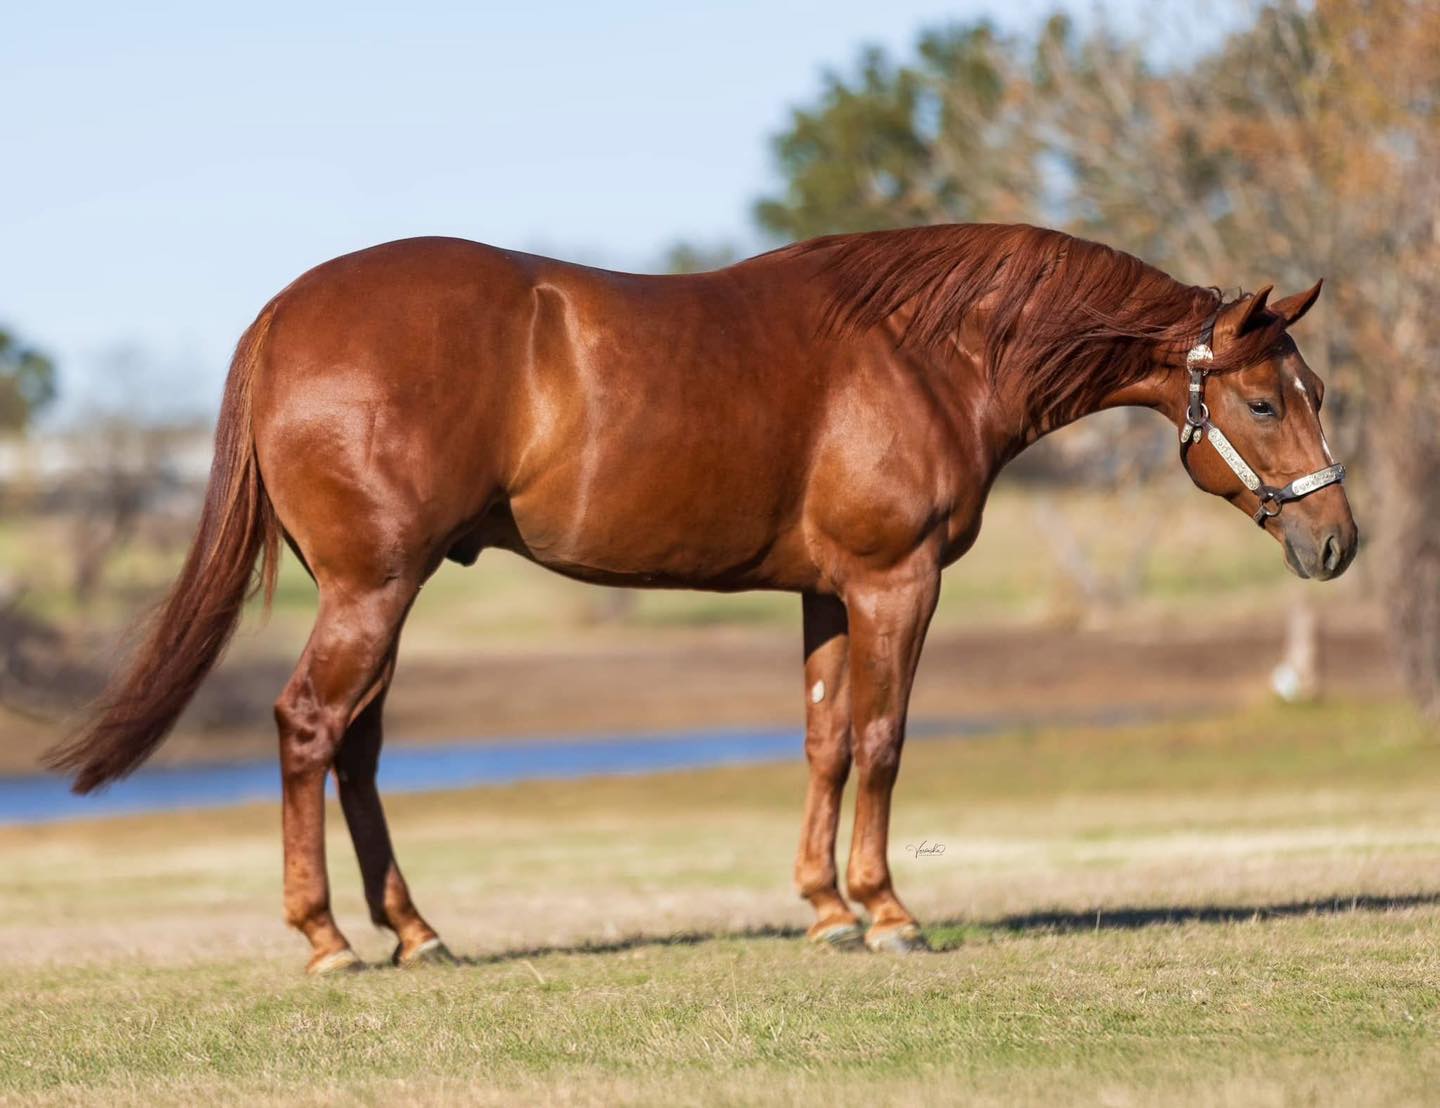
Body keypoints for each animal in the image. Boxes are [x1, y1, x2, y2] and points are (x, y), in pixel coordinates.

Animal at [47, 223, 1357, 973]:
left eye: (1315, 392)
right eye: (1261, 402)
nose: (1338, 539)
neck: (921, 349)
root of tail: (284, 313)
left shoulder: (828, 593)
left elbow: (827, 741)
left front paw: (824, 909)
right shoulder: (897, 582)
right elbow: (884, 740)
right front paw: (889, 912)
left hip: (375, 595)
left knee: (356, 752)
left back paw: (415, 932)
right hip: (374, 591)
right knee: (309, 729)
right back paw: (326, 940)